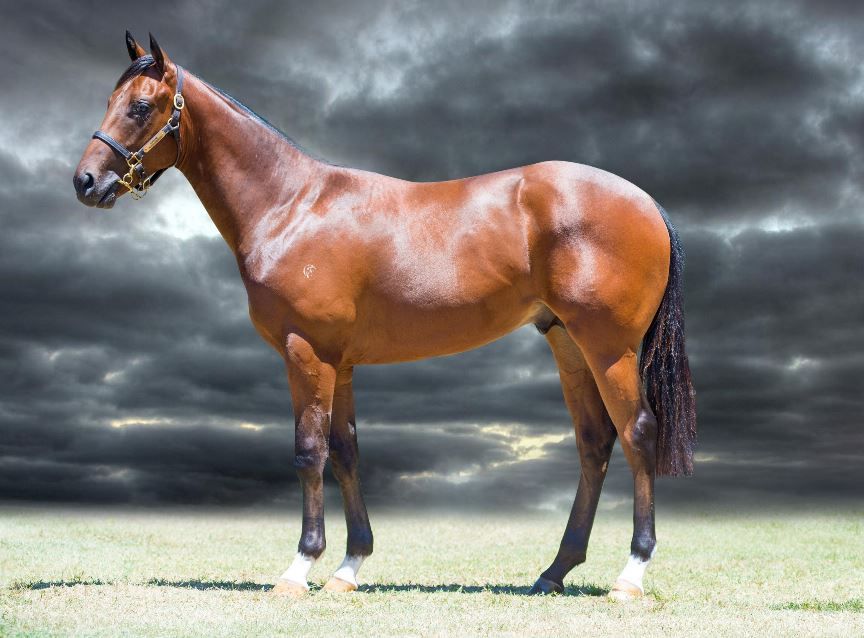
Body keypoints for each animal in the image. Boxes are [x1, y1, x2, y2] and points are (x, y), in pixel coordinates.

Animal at [73, 33, 696, 599]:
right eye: (110, 99)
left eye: (140, 106)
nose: (85, 182)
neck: (291, 205)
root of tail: (646, 201)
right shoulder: (340, 363)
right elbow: (346, 453)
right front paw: (349, 568)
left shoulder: (307, 352)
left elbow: (310, 453)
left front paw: (299, 570)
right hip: (567, 342)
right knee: (594, 443)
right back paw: (553, 571)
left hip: (609, 346)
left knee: (637, 433)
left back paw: (630, 574)